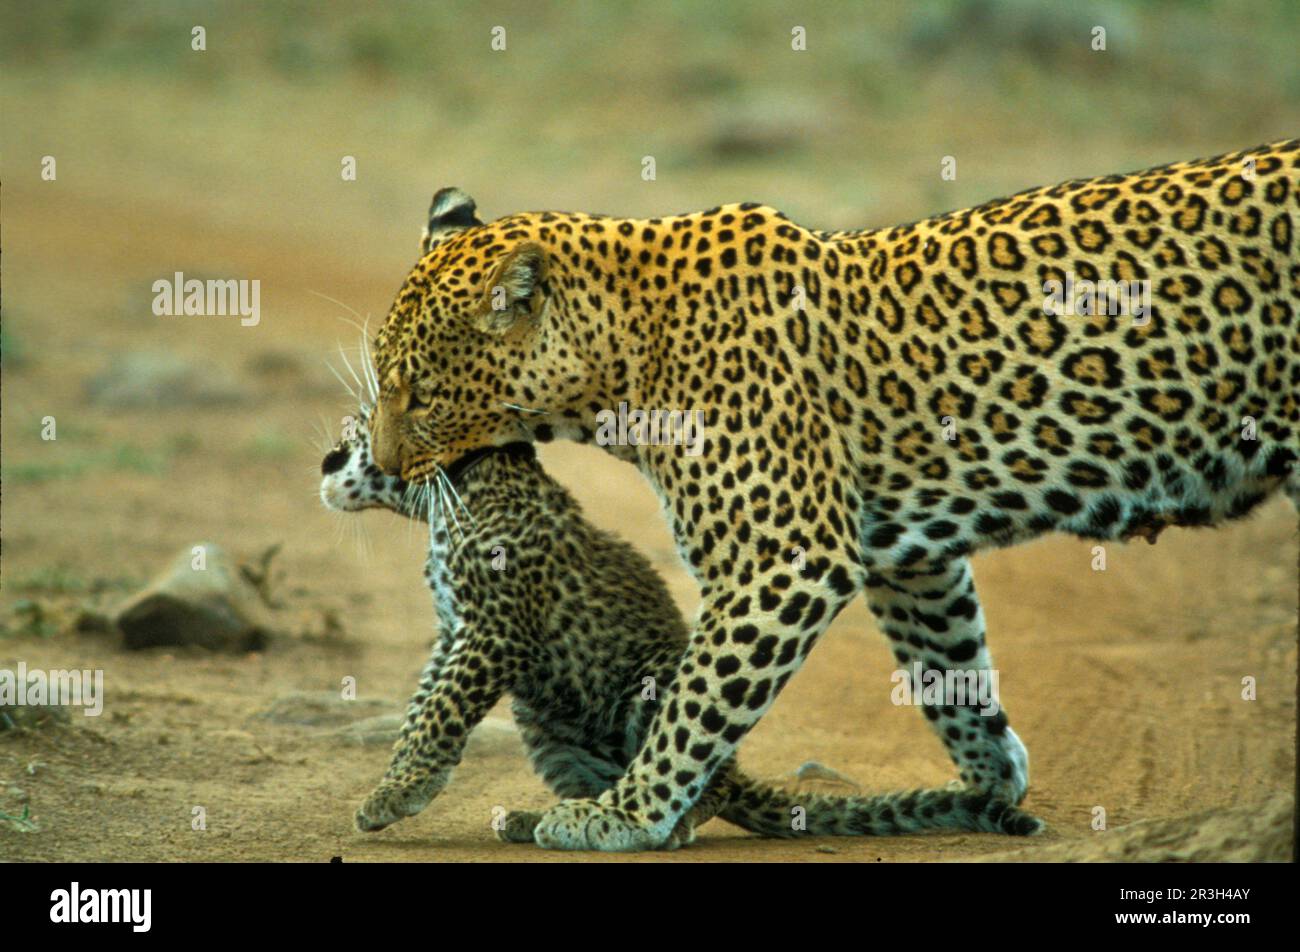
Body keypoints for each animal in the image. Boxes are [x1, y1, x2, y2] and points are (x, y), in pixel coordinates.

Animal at [319, 411, 1043, 845]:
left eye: (361, 432)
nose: (327, 460)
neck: (449, 501)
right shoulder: (455, 631)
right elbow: (420, 709)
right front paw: (395, 786)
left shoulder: (493, 632)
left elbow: (440, 714)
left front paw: (392, 799)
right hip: (548, 733)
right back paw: (540, 818)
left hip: (654, 688)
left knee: (697, 773)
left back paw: (664, 825)